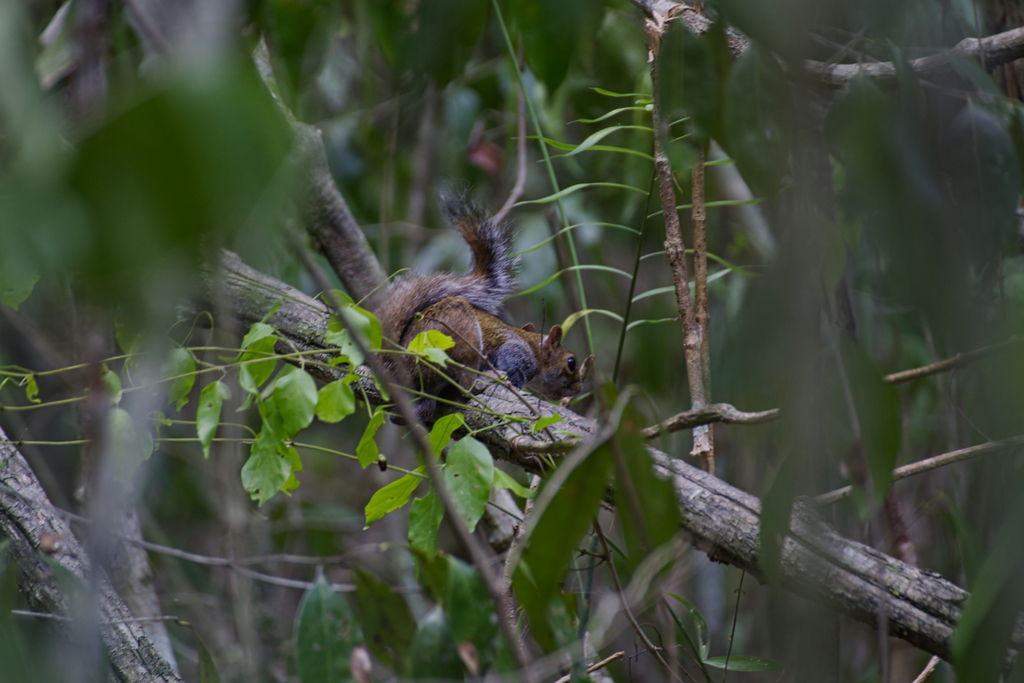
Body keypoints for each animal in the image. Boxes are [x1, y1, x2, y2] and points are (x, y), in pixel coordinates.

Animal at [375, 191, 594, 424]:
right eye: (571, 362)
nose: (579, 389)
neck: (534, 348)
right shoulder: (516, 352)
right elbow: (510, 364)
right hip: (460, 338)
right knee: (465, 385)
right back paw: (483, 381)